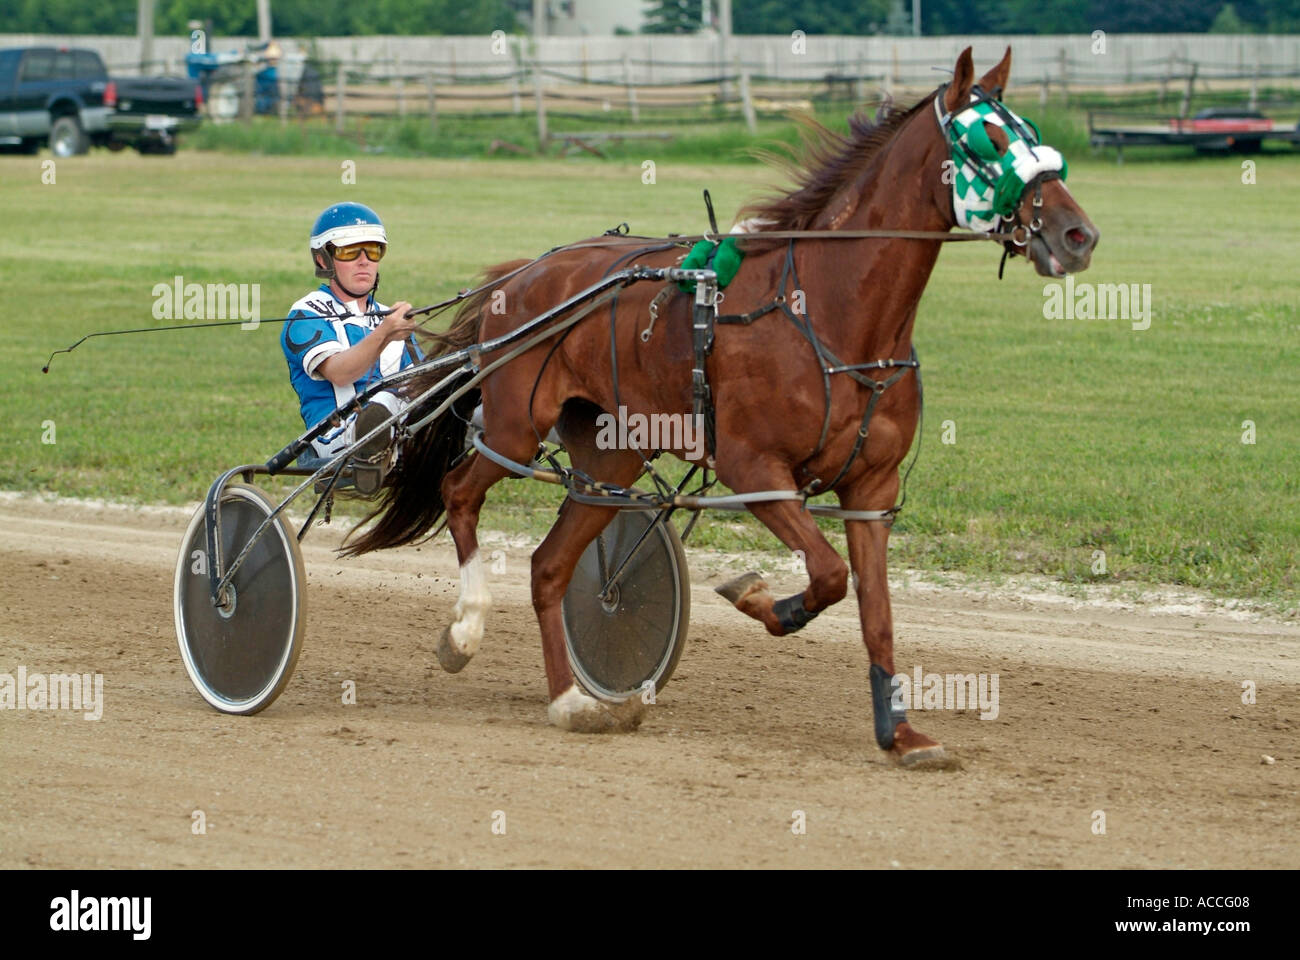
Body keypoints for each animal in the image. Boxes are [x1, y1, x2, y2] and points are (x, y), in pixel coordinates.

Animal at [343, 47, 1099, 765]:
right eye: (988, 139)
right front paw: (763, 599)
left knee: (549, 566)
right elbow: (828, 576)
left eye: (1035, 135)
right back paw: (466, 630)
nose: (1077, 234)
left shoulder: (872, 491)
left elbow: (875, 610)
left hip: (611, 458)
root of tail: (523, 272)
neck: (828, 315)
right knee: (459, 492)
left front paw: (902, 735)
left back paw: (570, 702)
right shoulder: (754, 468)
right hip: (514, 427)